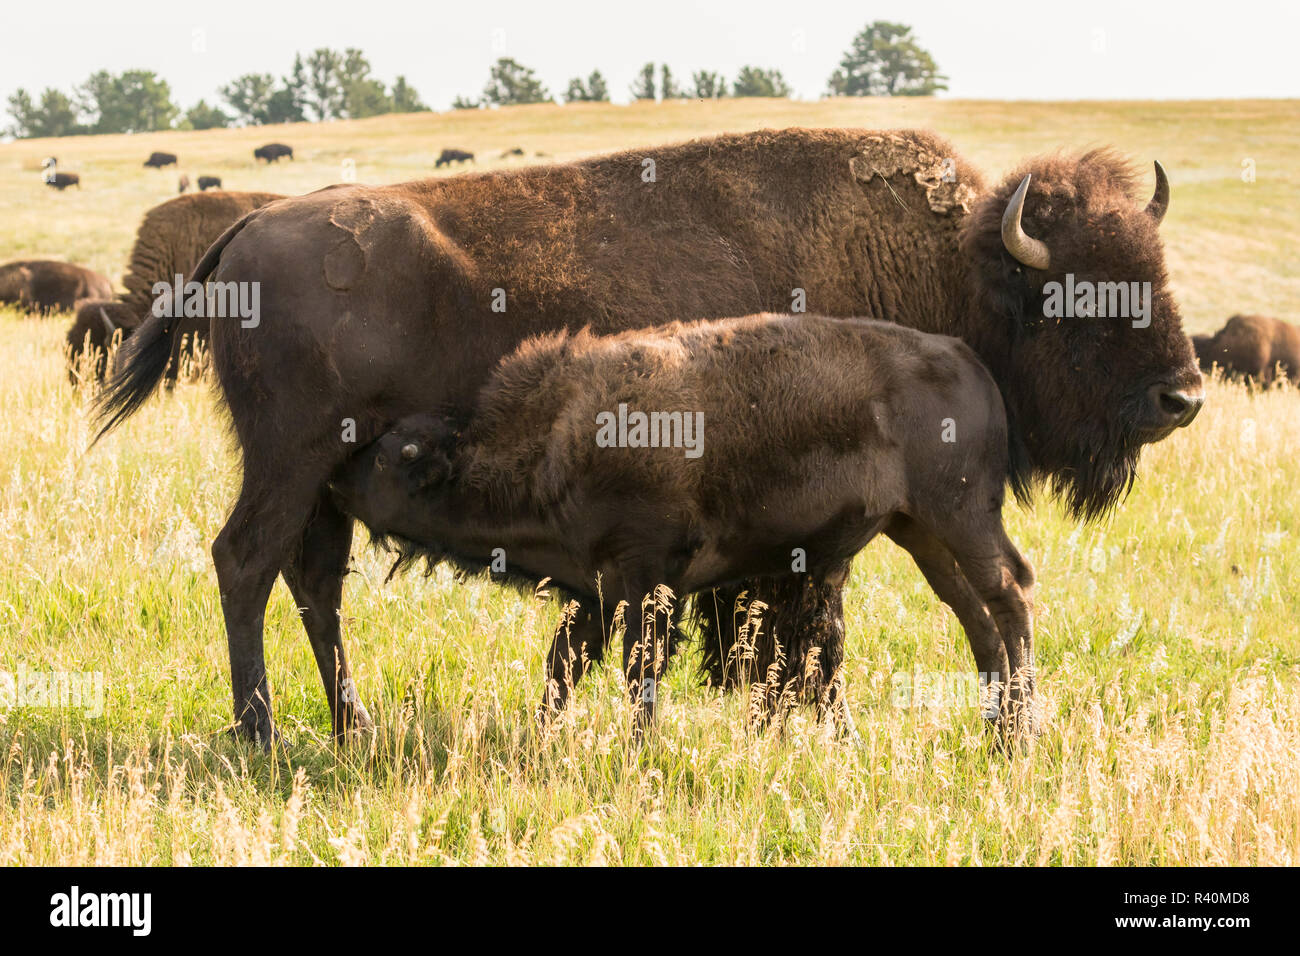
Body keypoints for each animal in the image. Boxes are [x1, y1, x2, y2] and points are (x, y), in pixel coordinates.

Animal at [330, 315, 1035, 737]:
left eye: (393, 456)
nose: (337, 478)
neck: (554, 442)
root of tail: (968, 361)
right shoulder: (596, 593)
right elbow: (562, 670)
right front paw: (544, 743)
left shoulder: (643, 580)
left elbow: (638, 673)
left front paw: (637, 753)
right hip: (918, 530)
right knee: (973, 612)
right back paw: (995, 727)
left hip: (961, 517)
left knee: (1009, 595)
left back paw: (1020, 733)